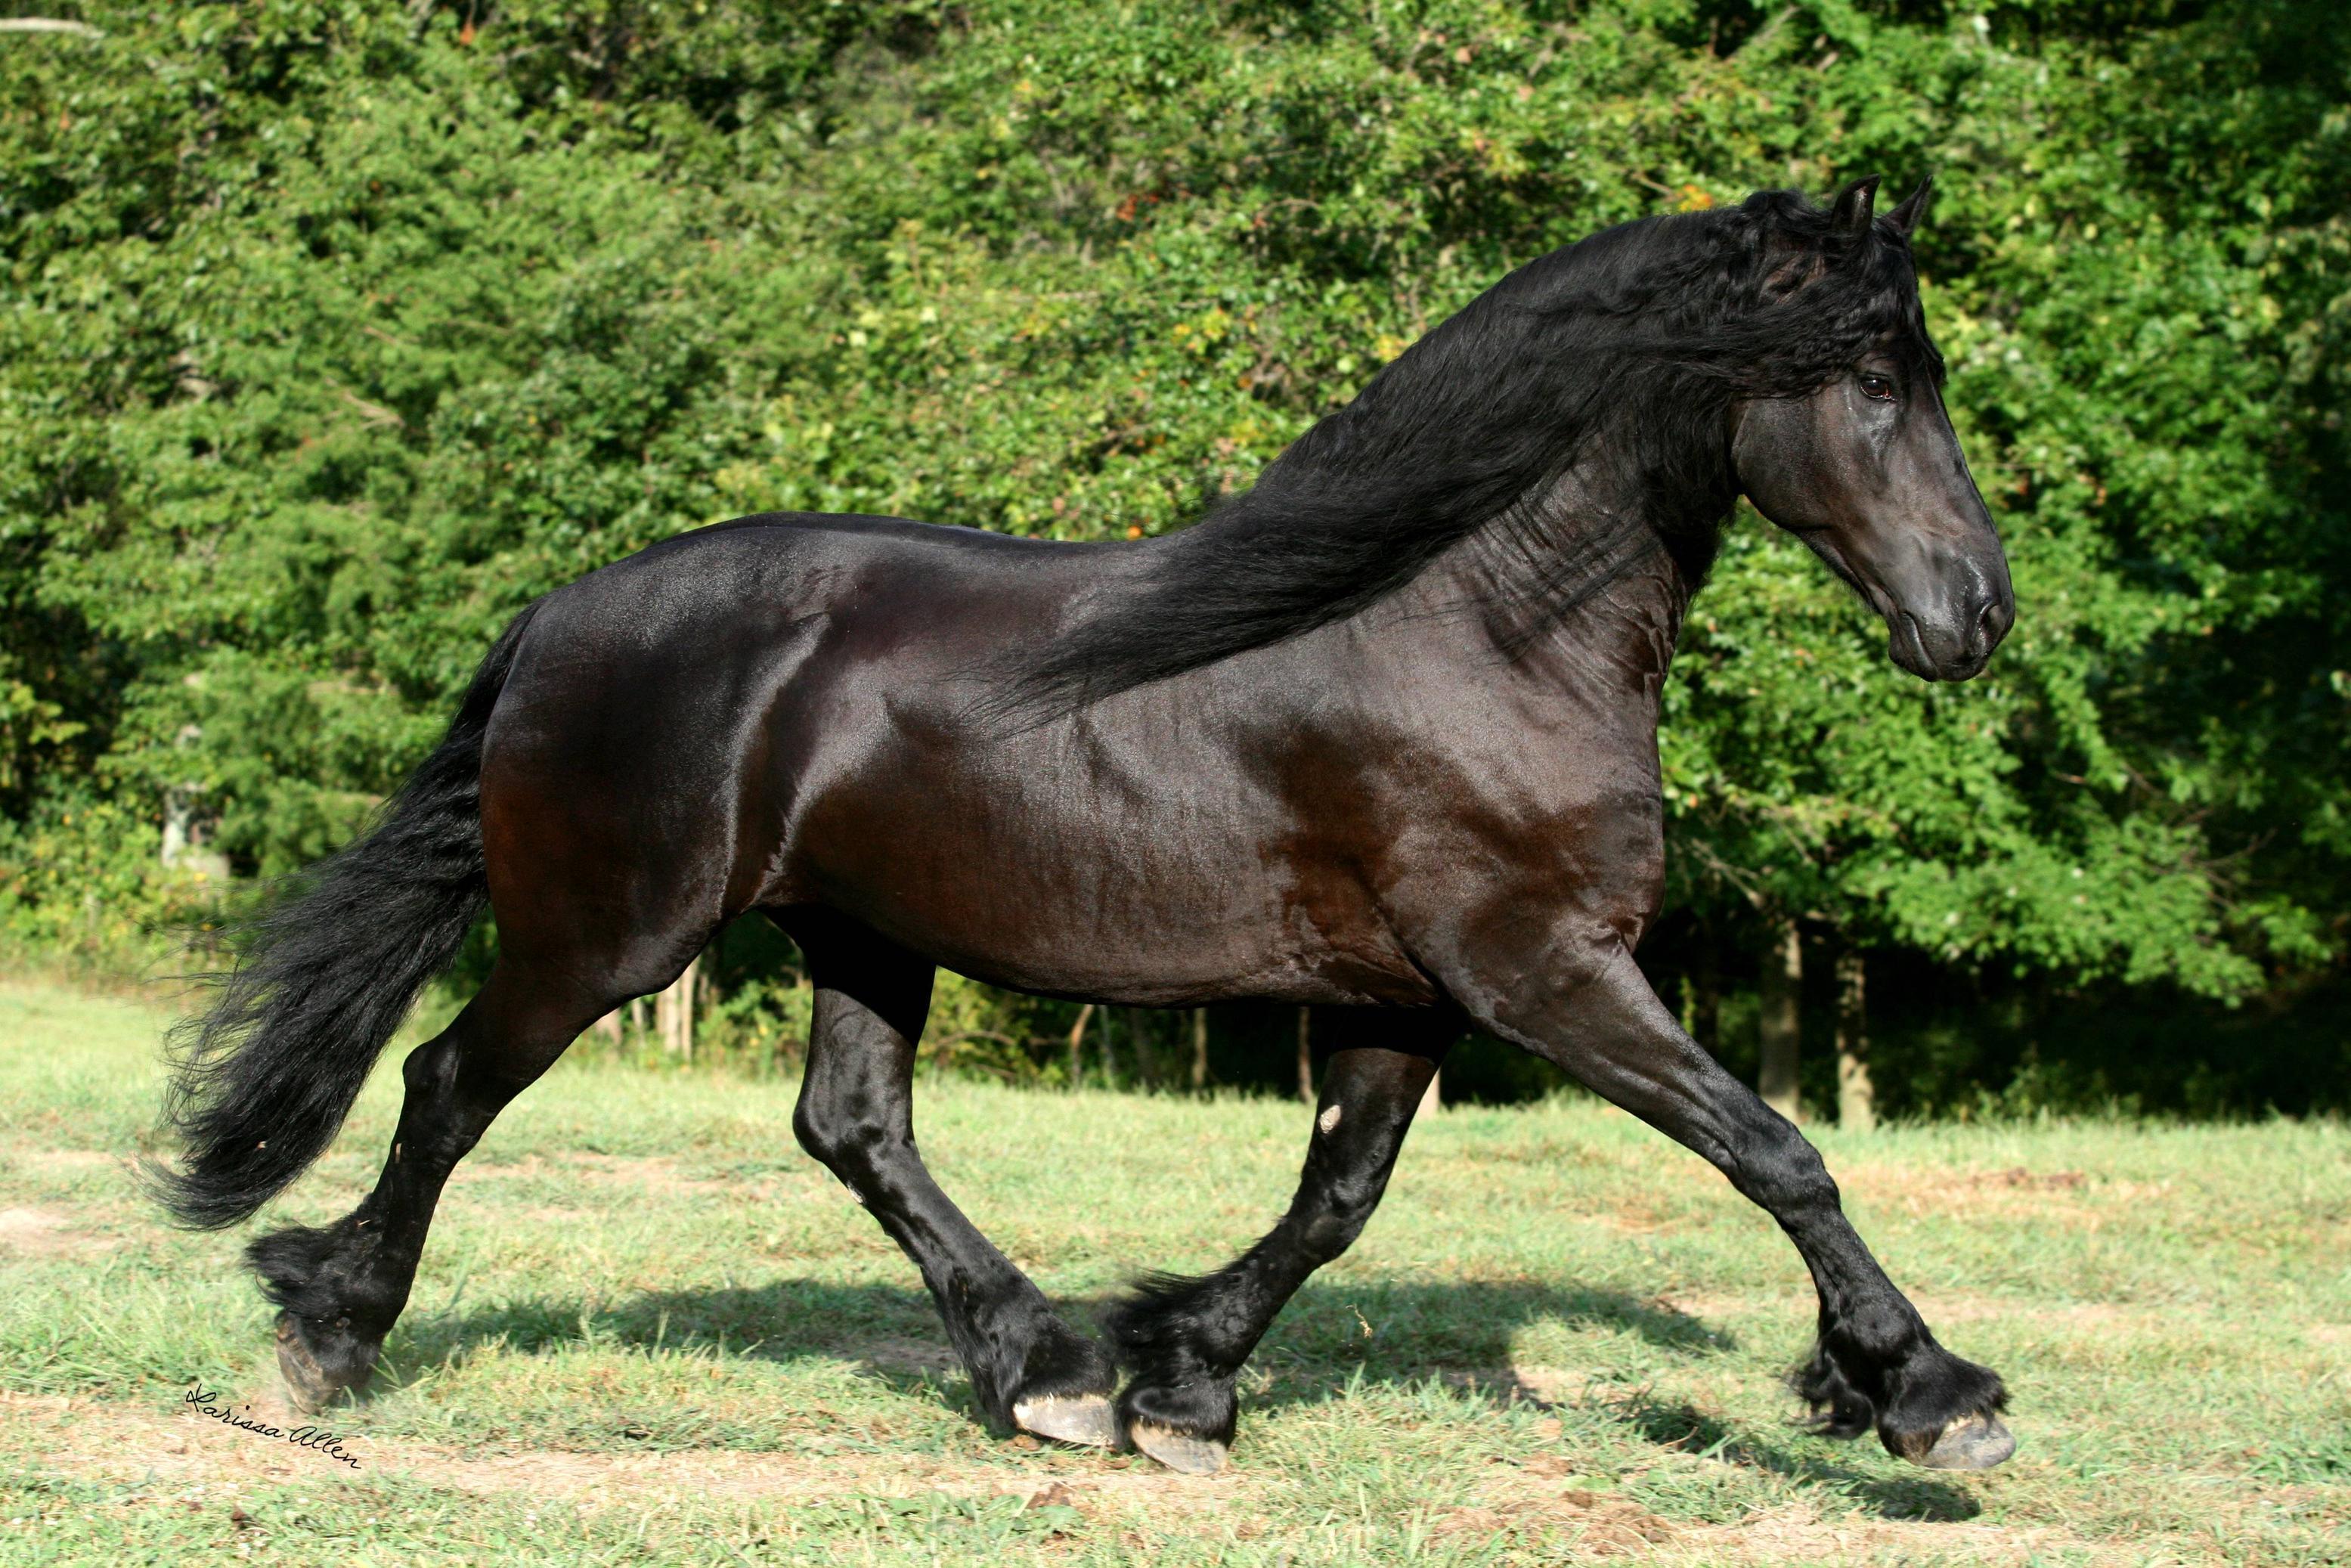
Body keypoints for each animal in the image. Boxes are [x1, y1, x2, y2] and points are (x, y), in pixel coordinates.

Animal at [152, 175, 2017, 1476]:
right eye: (1873, 375)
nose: (1978, 614)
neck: (1479, 630)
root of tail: (557, 614)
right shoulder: (1539, 966)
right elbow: (1771, 1145)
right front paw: (1930, 1391)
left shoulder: (1404, 995)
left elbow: (1336, 1198)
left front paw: (1177, 1375)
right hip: (605, 932)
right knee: (445, 1084)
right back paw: (330, 1334)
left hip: (861, 932)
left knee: (852, 1128)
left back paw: (1043, 1370)